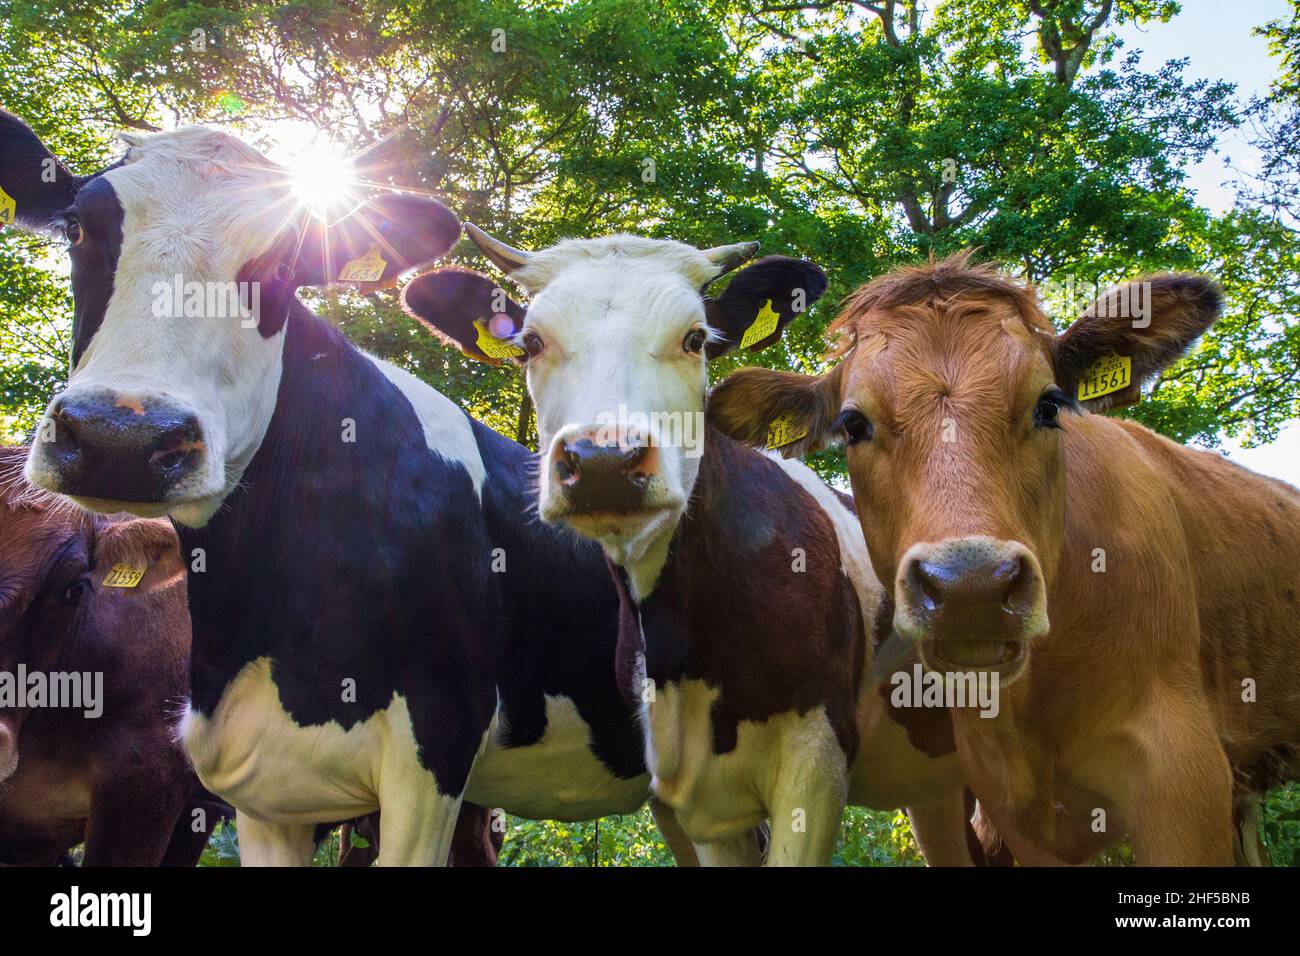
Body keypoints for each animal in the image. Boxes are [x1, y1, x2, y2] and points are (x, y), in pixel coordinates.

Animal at [401, 231, 991, 865]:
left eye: (695, 339)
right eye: (531, 343)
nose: (604, 461)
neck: (691, 649)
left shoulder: (818, 760)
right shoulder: (699, 803)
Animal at [707, 252, 1300, 865]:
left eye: (1048, 405)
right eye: (853, 424)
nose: (973, 588)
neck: (1040, 694)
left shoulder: (1182, 775)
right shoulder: (1007, 801)